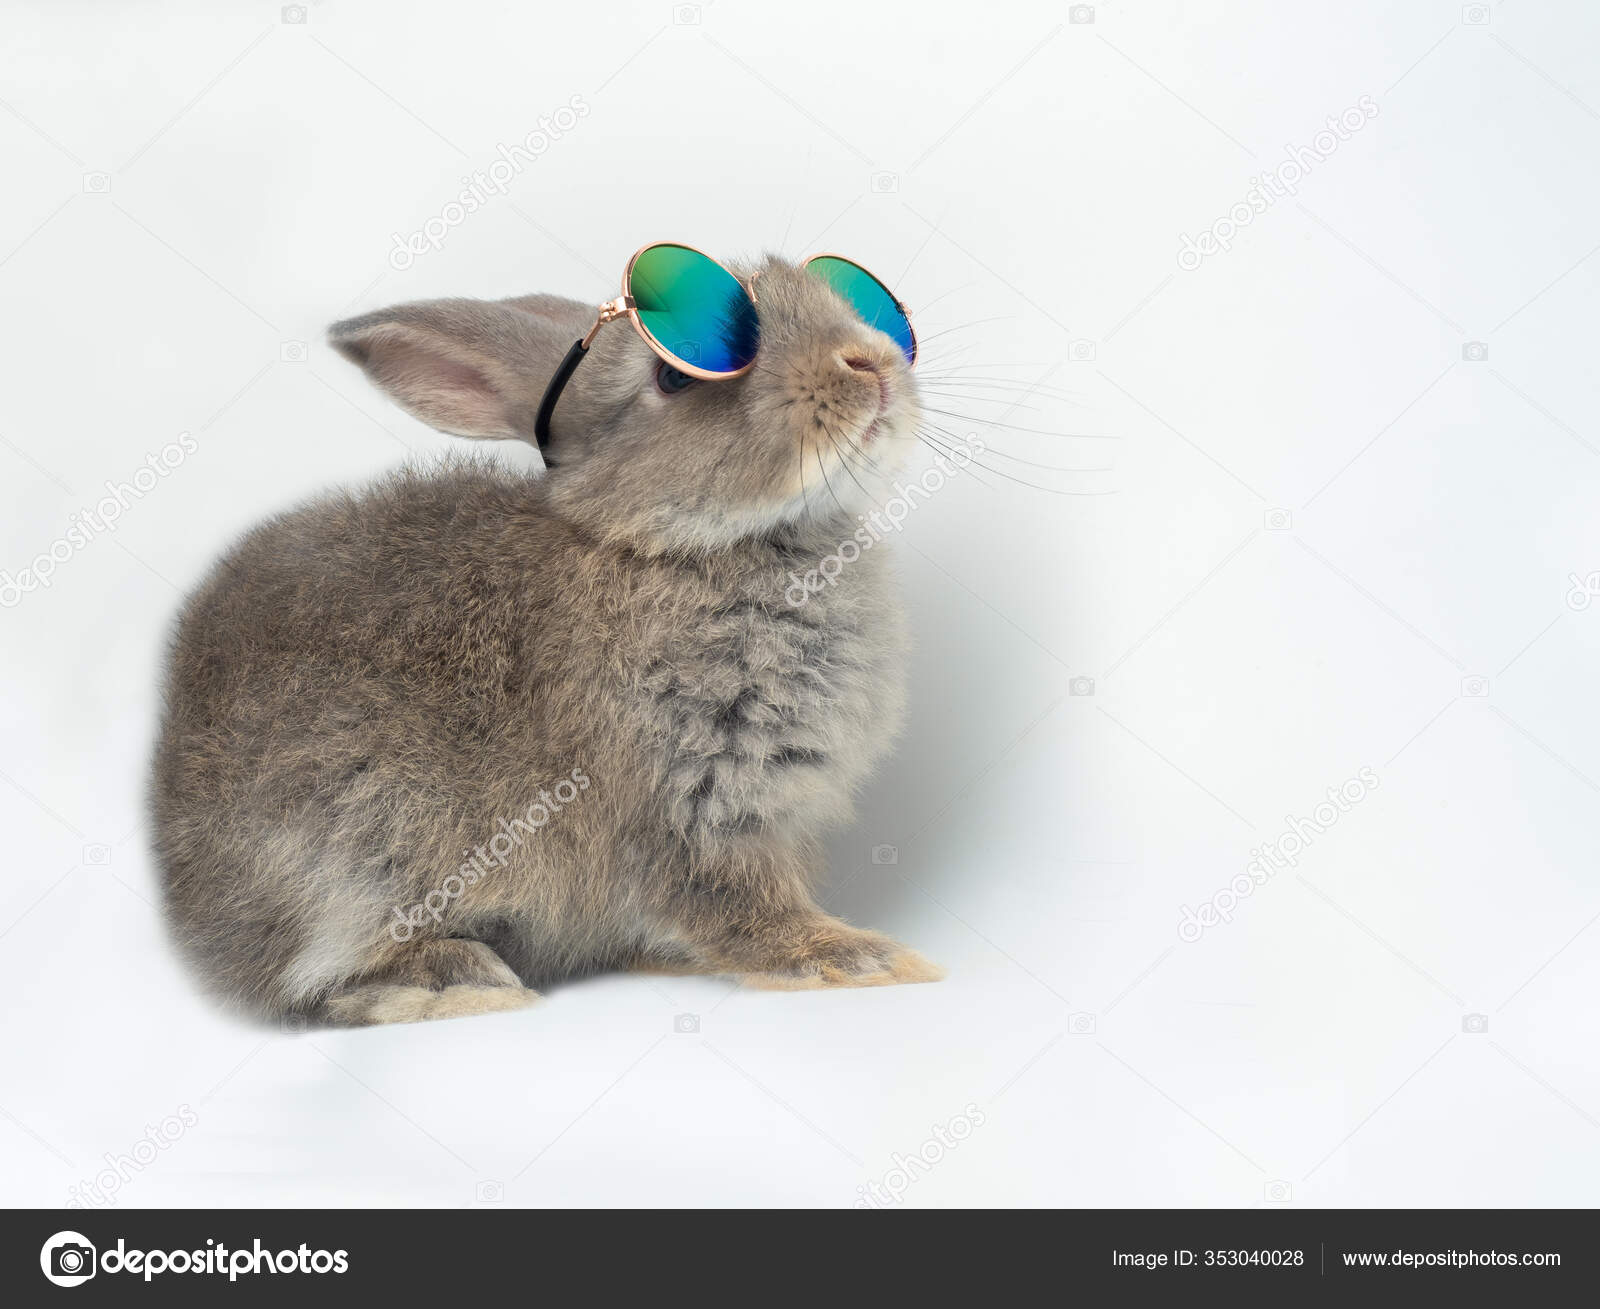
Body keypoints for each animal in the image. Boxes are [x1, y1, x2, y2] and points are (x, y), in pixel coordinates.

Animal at [150, 253, 943, 1027]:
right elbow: (739, 905)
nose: (868, 361)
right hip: (360, 843)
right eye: (674, 377)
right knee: (317, 975)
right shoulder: (687, 805)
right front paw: (863, 958)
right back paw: (459, 980)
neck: (679, 545)